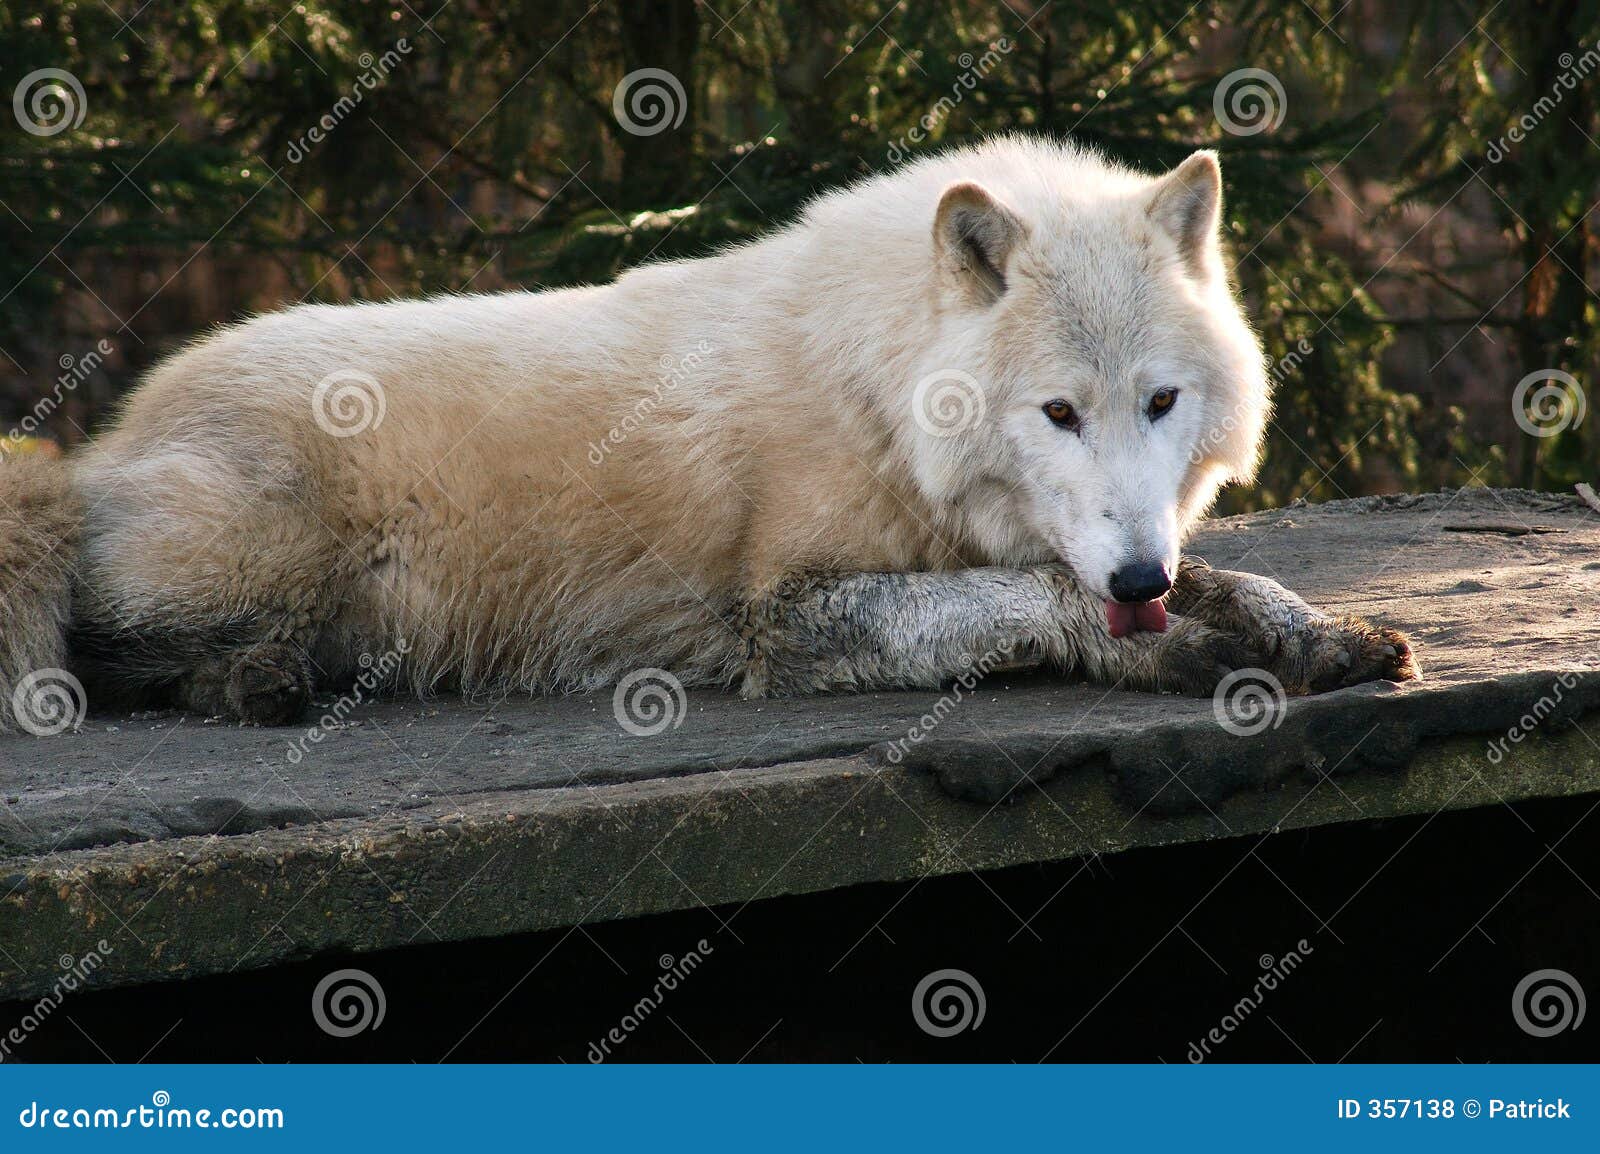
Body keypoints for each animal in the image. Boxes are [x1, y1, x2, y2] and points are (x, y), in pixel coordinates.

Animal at [0, 136, 1415, 732]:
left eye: (1159, 403)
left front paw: (1310, 629)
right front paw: (1165, 652)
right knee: (105, 659)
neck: (877, 394)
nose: (1136, 574)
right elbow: (1034, 602)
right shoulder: (784, 616)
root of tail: (110, 438)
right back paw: (254, 683)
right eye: (1058, 413)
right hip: (265, 560)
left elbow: (1227, 580)